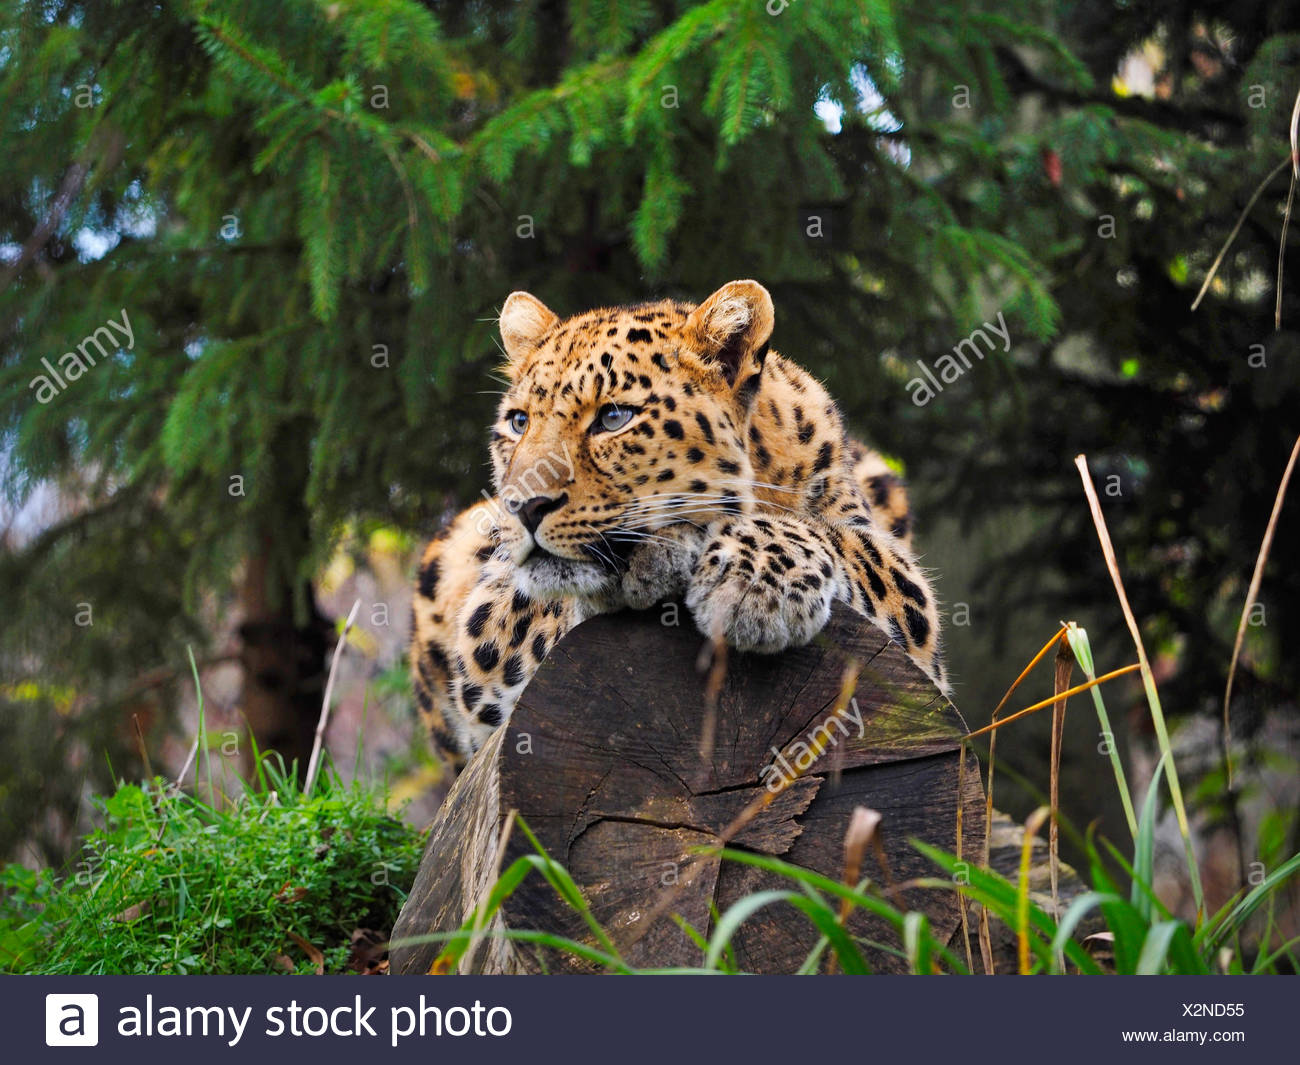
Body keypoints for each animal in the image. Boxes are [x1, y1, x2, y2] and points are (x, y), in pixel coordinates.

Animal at [409, 280, 944, 767]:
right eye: (519, 423)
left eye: (614, 417)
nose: (522, 506)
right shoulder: (490, 614)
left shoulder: (913, 622)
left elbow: (833, 537)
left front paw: (755, 588)